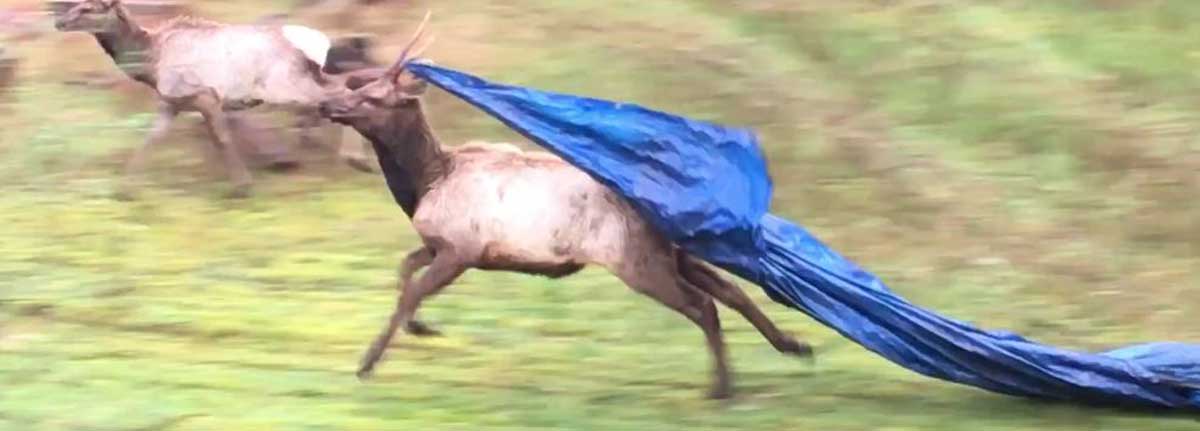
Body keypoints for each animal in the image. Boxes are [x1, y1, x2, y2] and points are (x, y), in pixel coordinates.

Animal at [53, 0, 384, 198]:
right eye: (77, 4)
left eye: (89, 8)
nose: (59, 22)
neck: (150, 61)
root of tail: (317, 41)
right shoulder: (171, 103)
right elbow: (152, 138)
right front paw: (124, 188)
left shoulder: (205, 95)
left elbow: (221, 137)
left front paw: (242, 186)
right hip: (304, 78)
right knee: (343, 86)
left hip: (283, 85)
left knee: (339, 92)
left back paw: (356, 159)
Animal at [315, 21, 815, 399]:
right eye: (359, 85)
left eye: (373, 98)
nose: (325, 104)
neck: (424, 182)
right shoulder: (441, 245)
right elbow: (404, 271)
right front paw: (420, 328)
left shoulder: (463, 248)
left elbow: (413, 289)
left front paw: (369, 361)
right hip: (674, 251)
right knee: (732, 290)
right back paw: (793, 346)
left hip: (635, 258)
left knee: (704, 304)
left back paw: (723, 387)